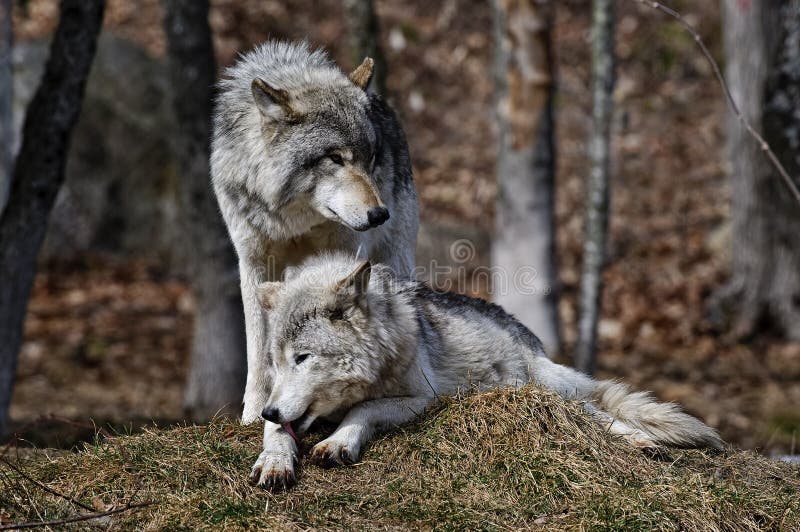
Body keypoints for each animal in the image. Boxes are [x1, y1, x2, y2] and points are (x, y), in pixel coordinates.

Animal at [211, 40, 419, 441]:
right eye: (334, 158)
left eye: (371, 159)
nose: (379, 214)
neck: (292, 218)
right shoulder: (254, 262)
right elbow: (259, 348)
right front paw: (253, 414)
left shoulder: (343, 253)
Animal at [248, 252, 724, 488]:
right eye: (277, 361)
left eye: (303, 358)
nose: (270, 410)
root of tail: (528, 335)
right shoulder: (281, 406)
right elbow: (277, 434)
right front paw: (275, 461)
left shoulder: (422, 398)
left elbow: (360, 410)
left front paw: (337, 442)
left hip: (544, 387)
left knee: (598, 413)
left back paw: (643, 442)